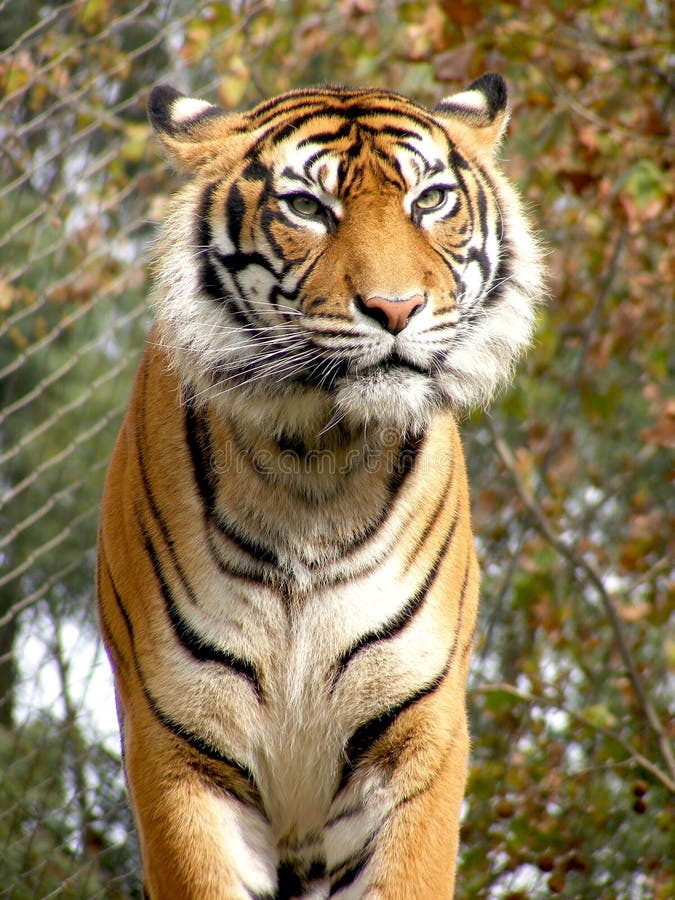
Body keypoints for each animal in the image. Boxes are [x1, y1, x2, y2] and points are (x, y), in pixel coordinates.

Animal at [96, 74, 543, 899]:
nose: (396, 309)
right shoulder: (177, 746)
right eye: (307, 208)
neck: (316, 464)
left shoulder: (416, 736)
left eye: (430, 200)